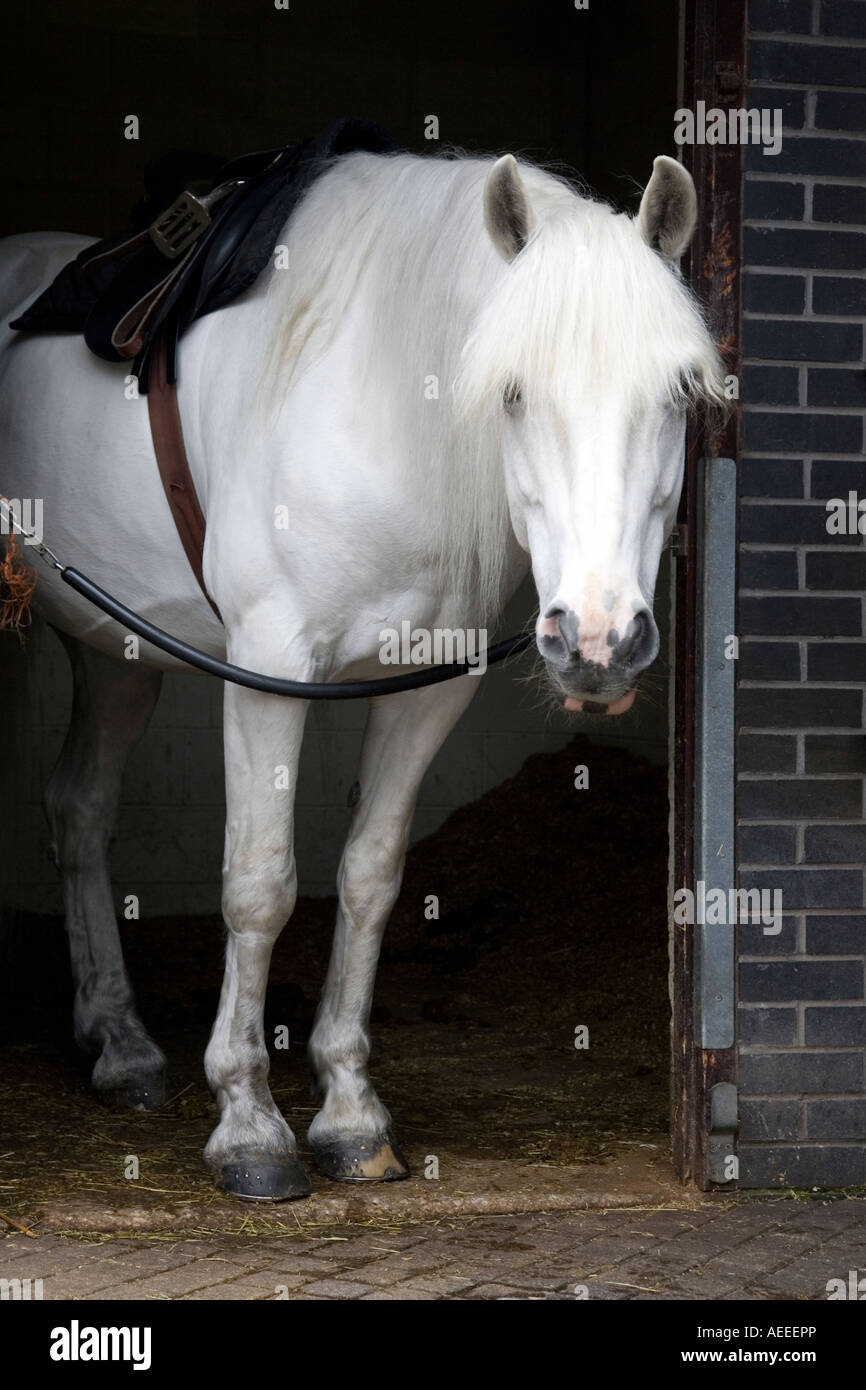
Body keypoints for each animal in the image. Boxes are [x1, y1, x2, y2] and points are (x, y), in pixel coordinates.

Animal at [0, 147, 726, 1199]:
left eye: (676, 391)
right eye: (510, 391)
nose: (598, 642)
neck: (374, 405)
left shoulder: (429, 689)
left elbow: (371, 877)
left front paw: (347, 1110)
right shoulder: (267, 668)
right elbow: (259, 883)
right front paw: (250, 1125)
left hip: (116, 653)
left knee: (82, 808)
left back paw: (120, 1042)